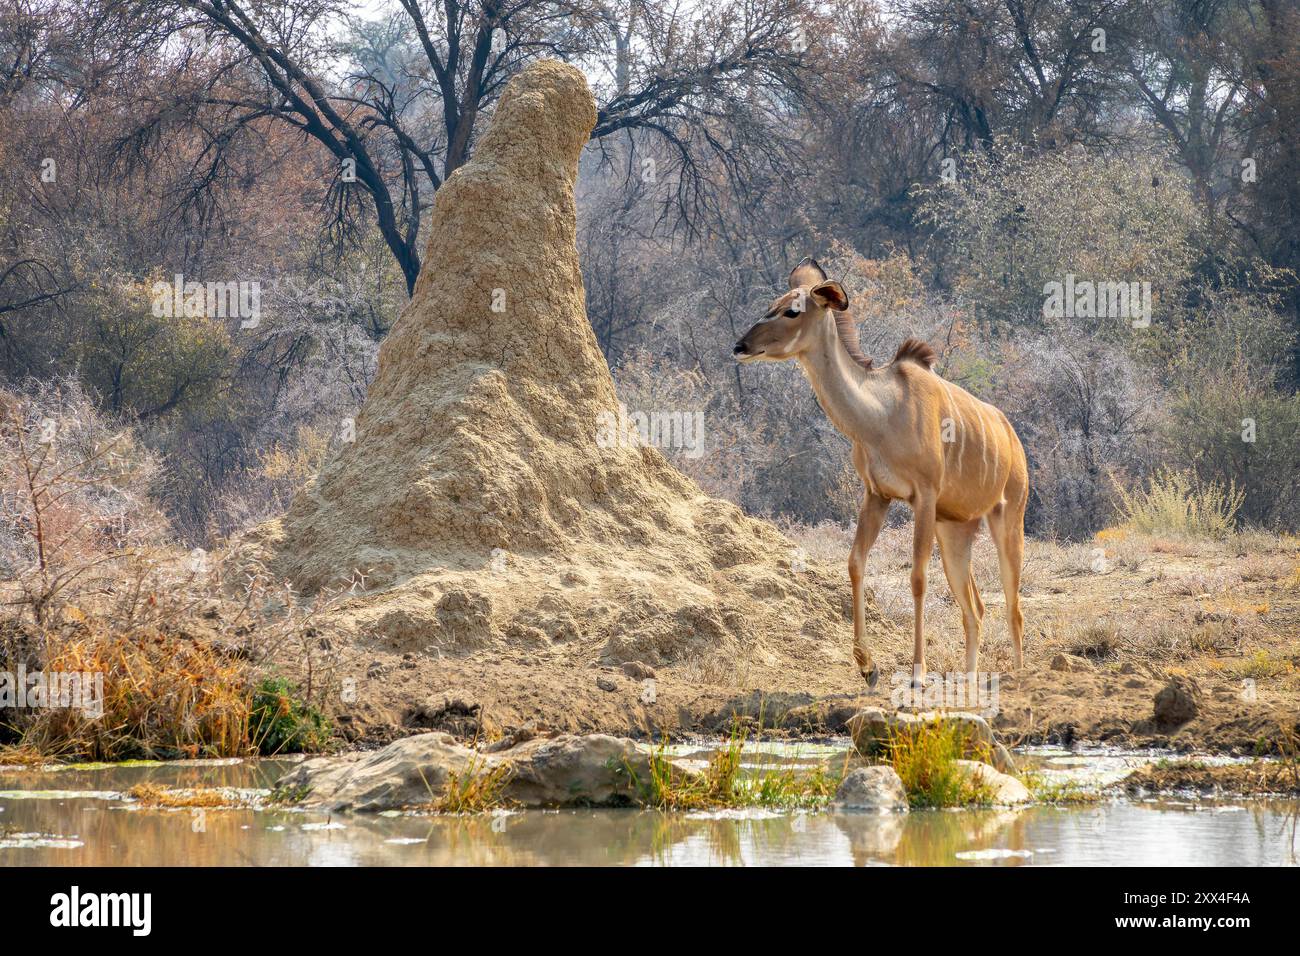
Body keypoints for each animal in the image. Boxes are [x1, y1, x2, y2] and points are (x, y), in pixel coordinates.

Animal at [733, 258, 1028, 688]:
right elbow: (855, 562)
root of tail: (1012, 439)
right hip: (955, 531)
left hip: (1007, 518)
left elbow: (917, 578)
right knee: (975, 608)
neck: (881, 412)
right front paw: (867, 665)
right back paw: (971, 679)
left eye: (792, 310)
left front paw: (917, 672)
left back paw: (1021, 674)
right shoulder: (877, 495)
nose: (740, 347)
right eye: (771, 304)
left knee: (1012, 604)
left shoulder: (923, 496)